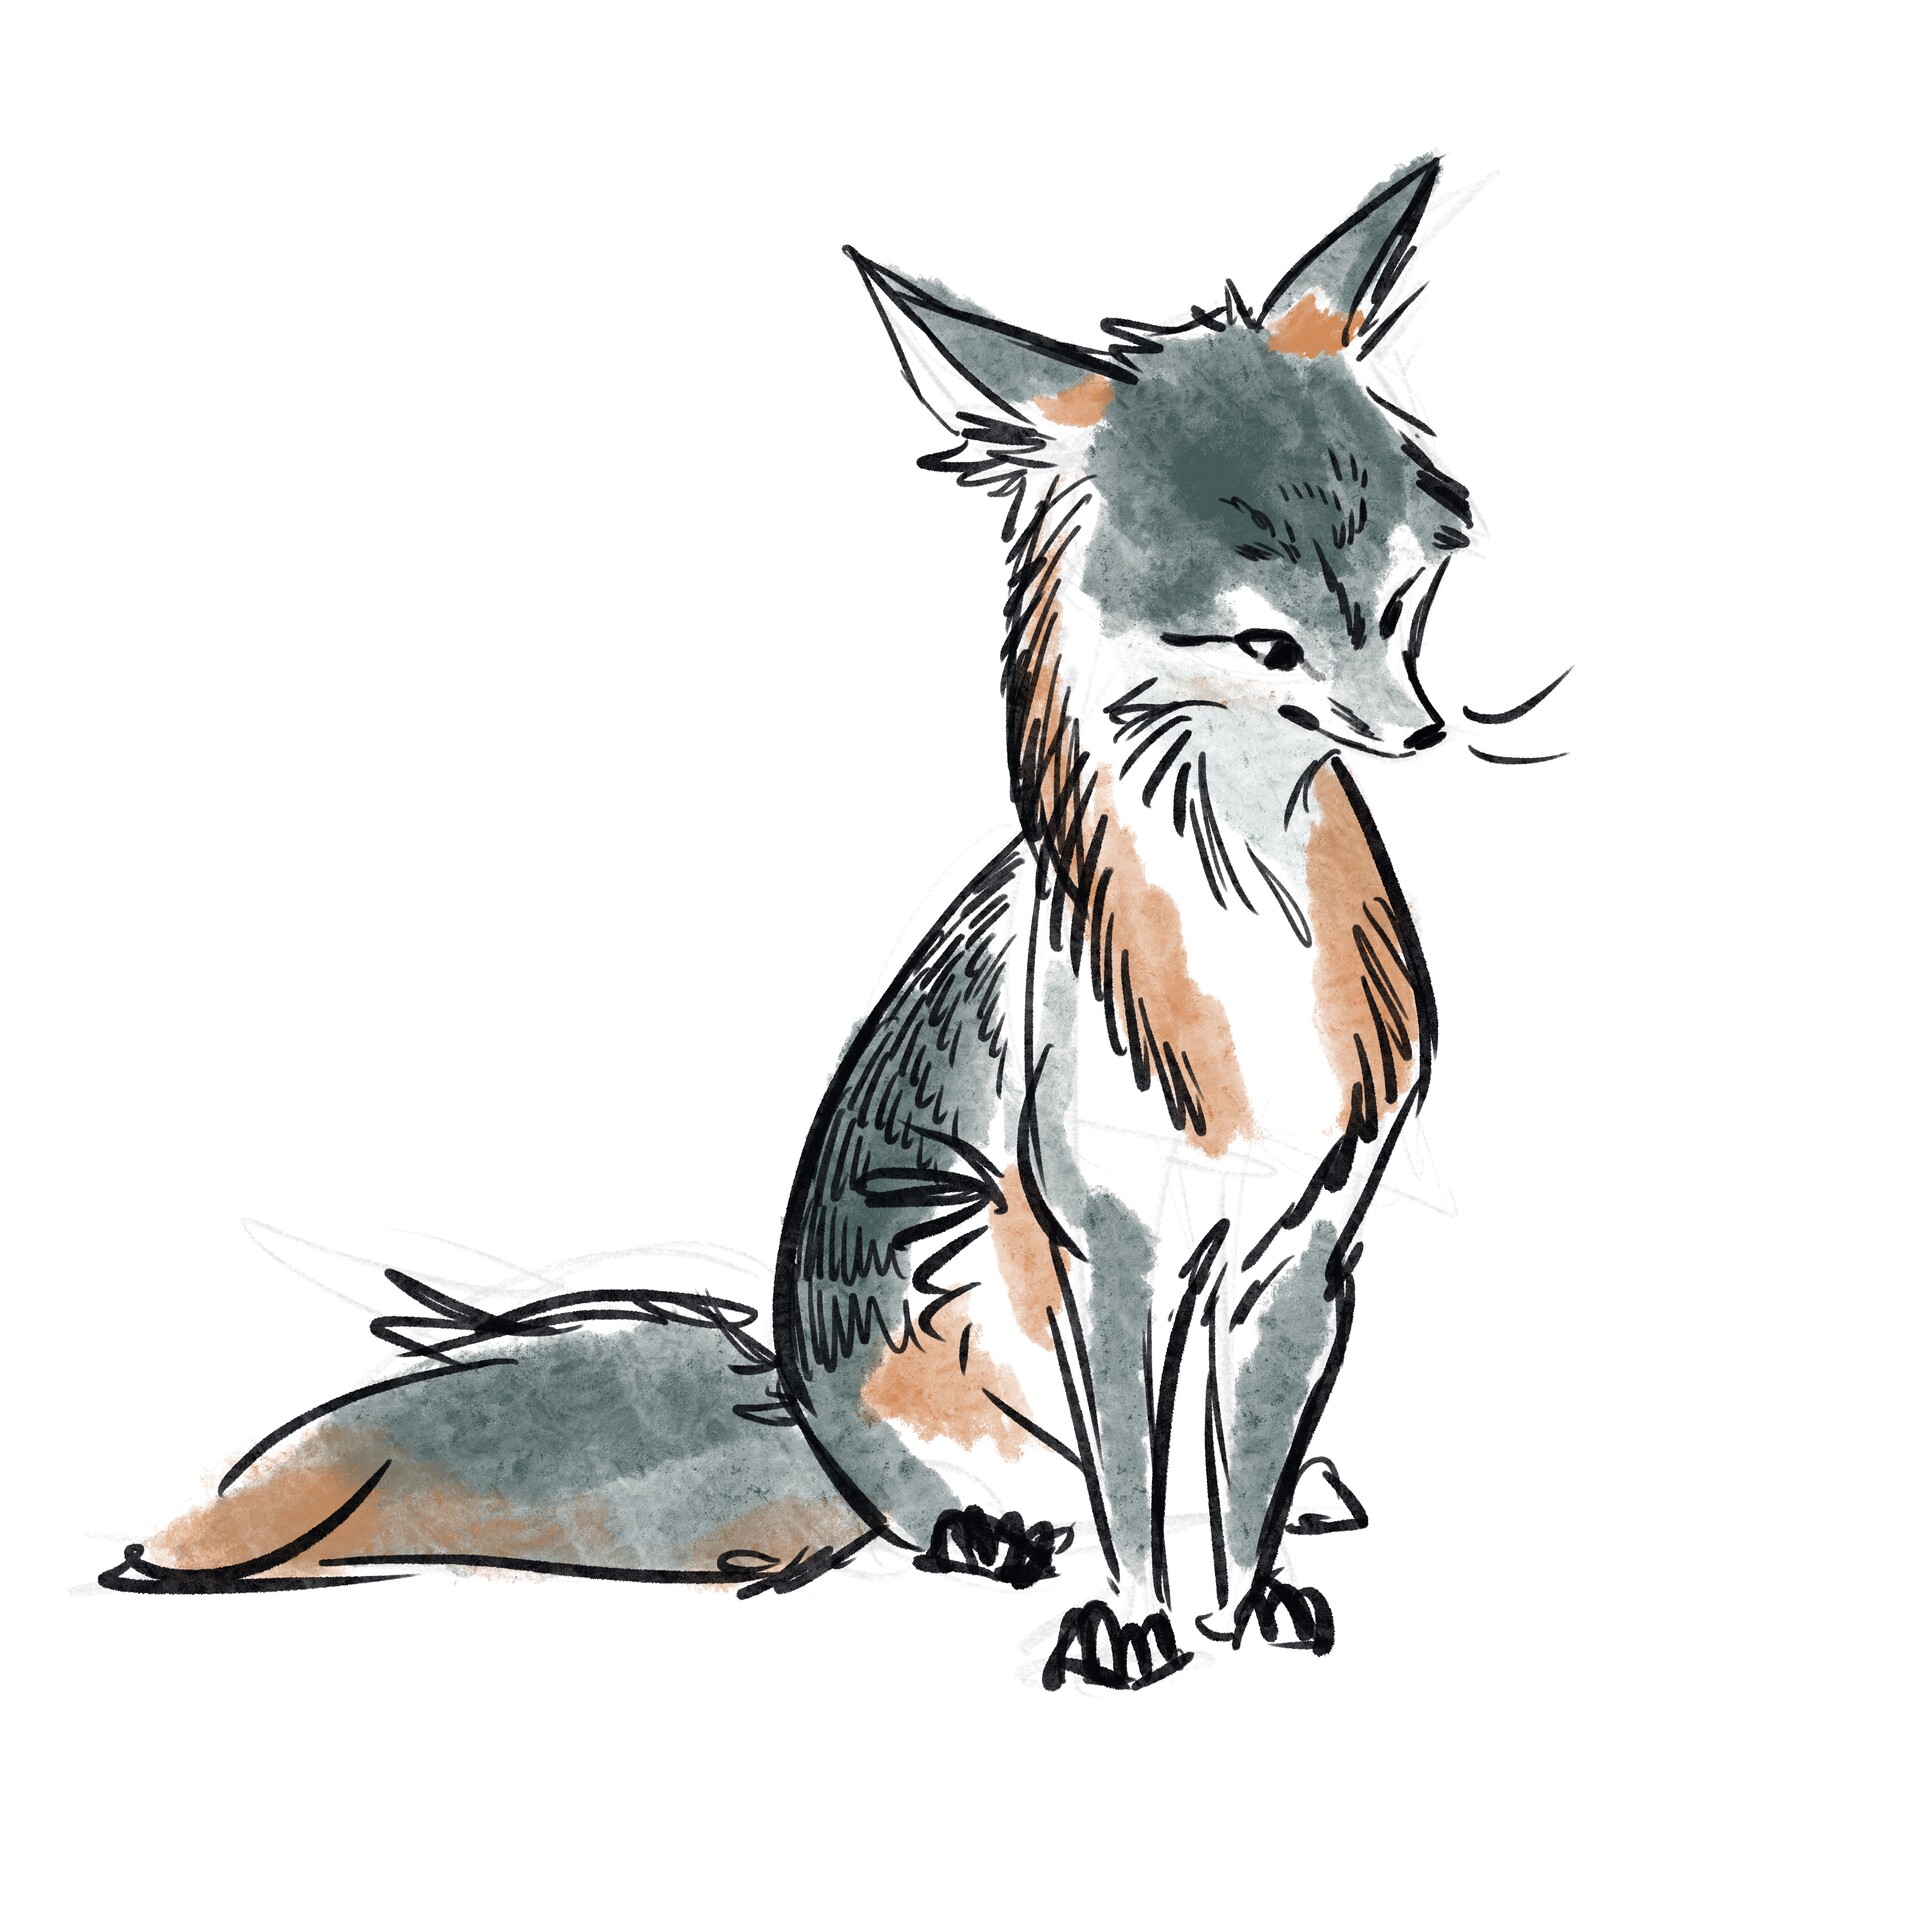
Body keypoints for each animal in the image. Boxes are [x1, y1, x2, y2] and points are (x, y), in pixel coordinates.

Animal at [103, 158, 1485, 1691]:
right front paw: (1141, 1619)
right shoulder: (1103, 1256)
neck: (1252, 947)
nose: (1420, 731)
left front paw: (1246, 1603)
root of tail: (778, 1389)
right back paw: (997, 1531)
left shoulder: (1303, 1251)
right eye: (1267, 647)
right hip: (939, 1268)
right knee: (965, 1496)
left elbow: (1237, 1480)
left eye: (1399, 604)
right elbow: (1136, 1485)